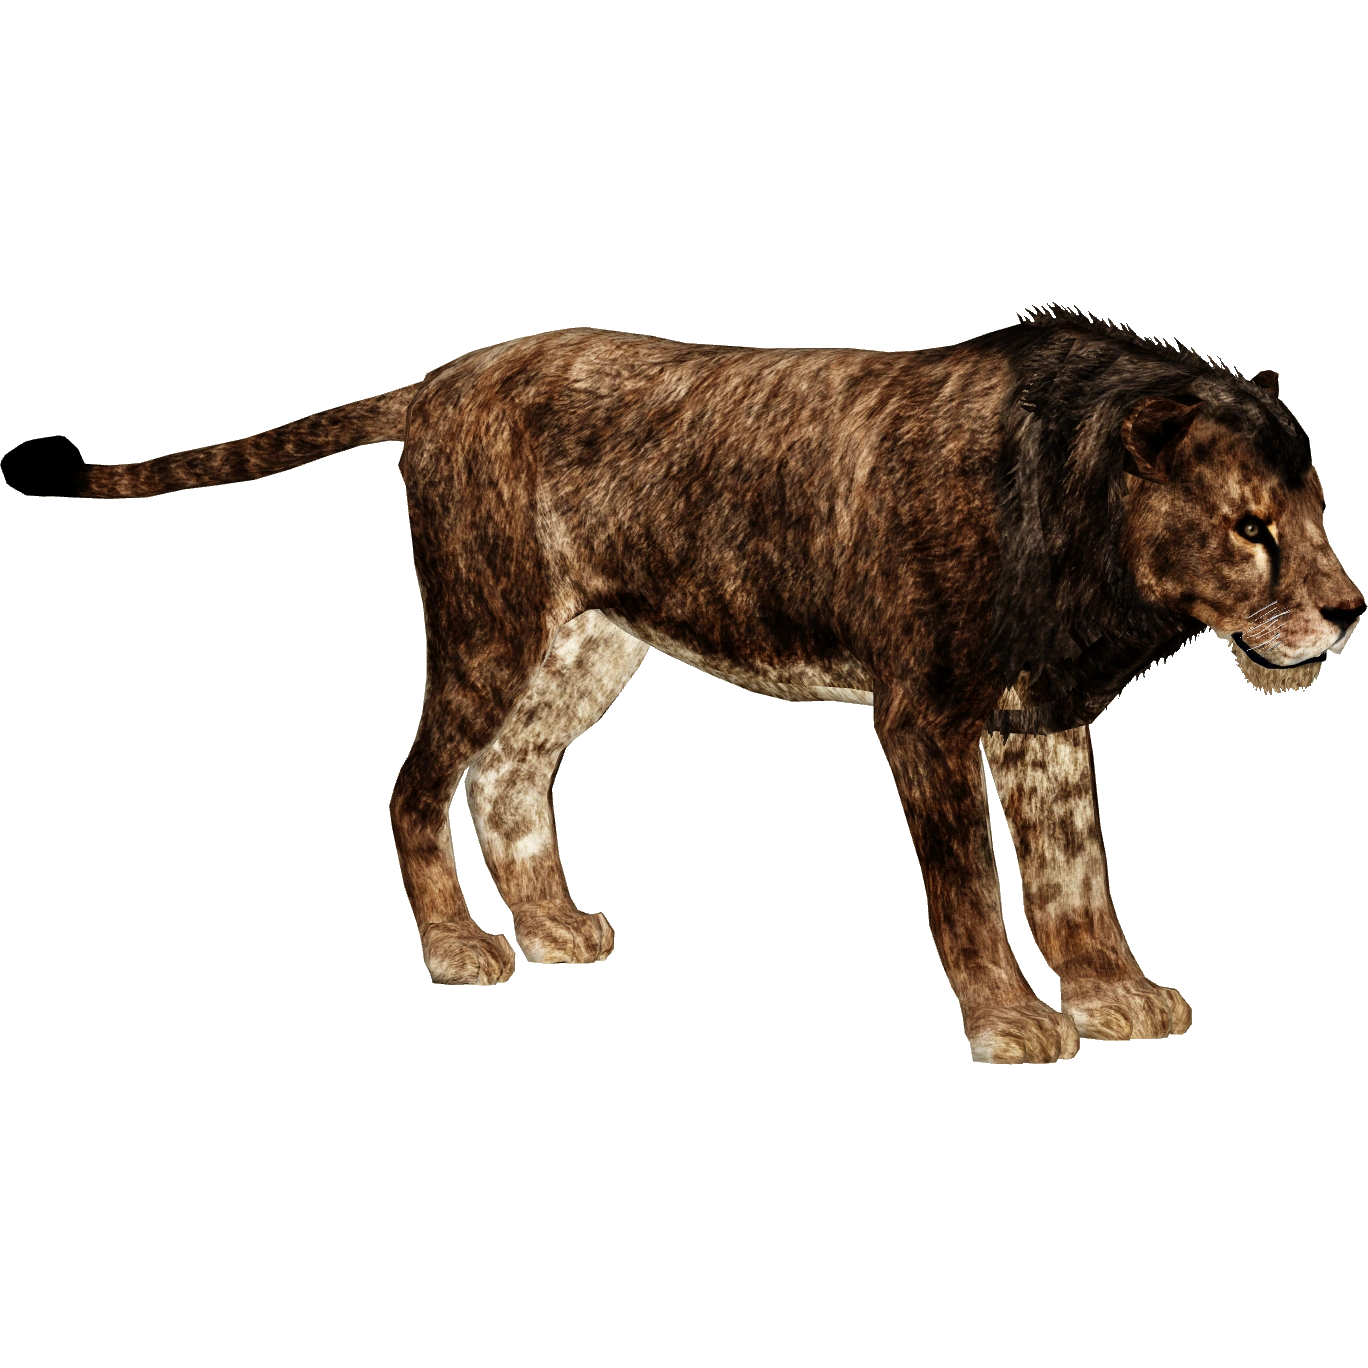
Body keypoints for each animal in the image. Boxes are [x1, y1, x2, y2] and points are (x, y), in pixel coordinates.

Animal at [4, 302, 1361, 1063]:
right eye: (1251, 526)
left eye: (1318, 512)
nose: (1350, 610)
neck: (1087, 542)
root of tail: (443, 379)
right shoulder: (924, 712)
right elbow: (972, 888)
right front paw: (1012, 1024)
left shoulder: (1046, 719)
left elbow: (1077, 876)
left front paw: (1116, 994)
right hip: (491, 623)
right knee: (414, 782)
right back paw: (458, 949)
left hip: (587, 645)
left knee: (512, 778)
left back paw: (552, 926)